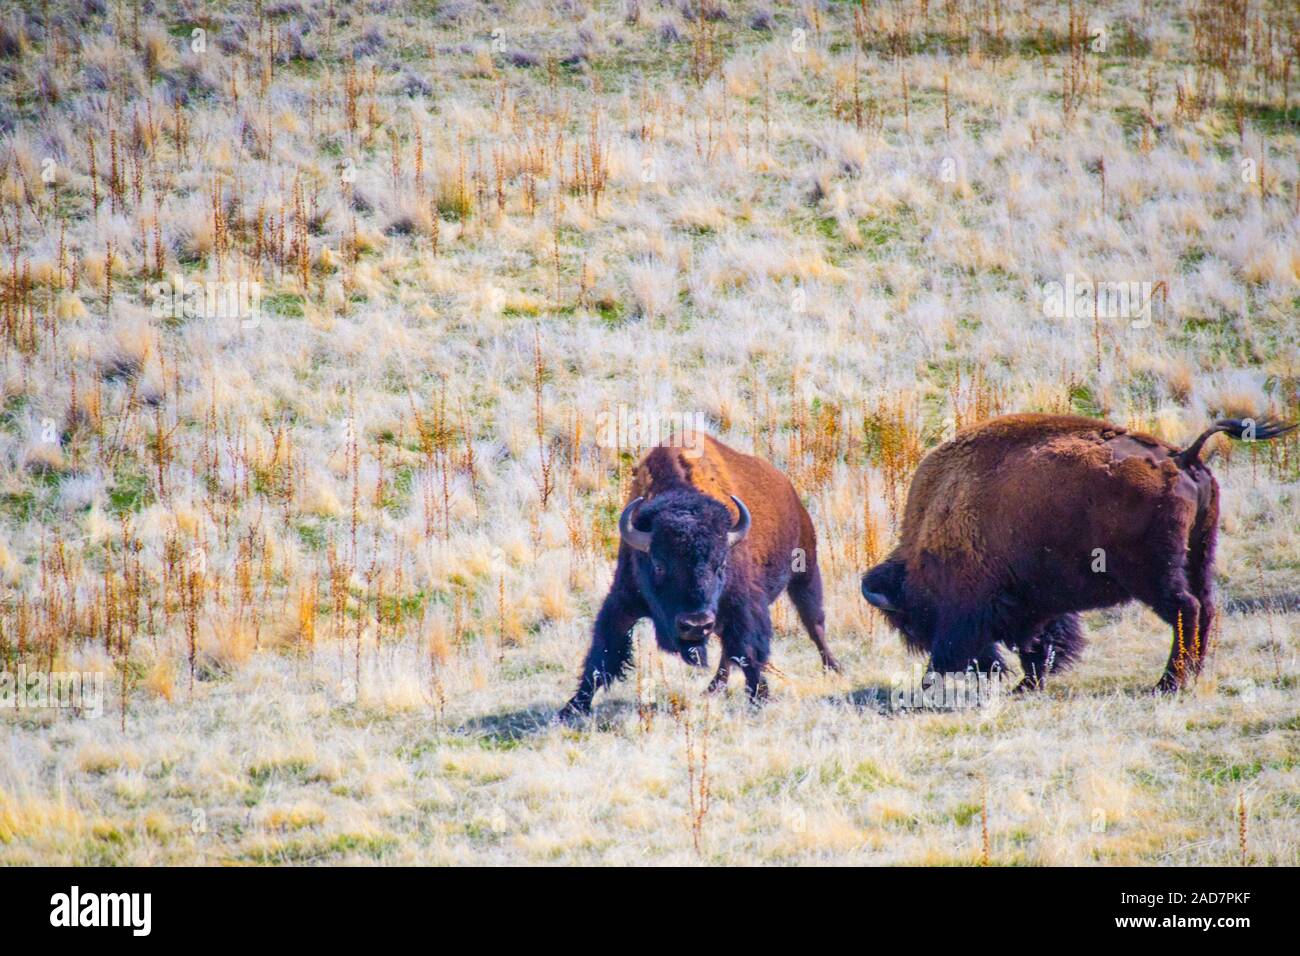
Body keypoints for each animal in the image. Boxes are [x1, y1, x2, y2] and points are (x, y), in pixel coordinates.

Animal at [560, 435, 839, 720]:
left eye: (721, 564)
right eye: (658, 565)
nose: (696, 624)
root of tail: (789, 490)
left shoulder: (743, 606)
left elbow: (749, 652)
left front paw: (759, 698)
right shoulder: (623, 600)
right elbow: (602, 655)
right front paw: (572, 707)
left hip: (805, 571)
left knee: (814, 624)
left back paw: (833, 668)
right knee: (728, 652)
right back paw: (713, 689)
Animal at [860, 413, 1296, 692]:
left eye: (915, 619)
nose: (989, 672)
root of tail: (1183, 456)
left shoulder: (968, 605)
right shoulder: (1037, 603)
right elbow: (1041, 643)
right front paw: (1027, 685)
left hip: (1153, 575)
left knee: (1185, 609)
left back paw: (1169, 683)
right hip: (1200, 556)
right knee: (1206, 606)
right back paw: (1193, 675)